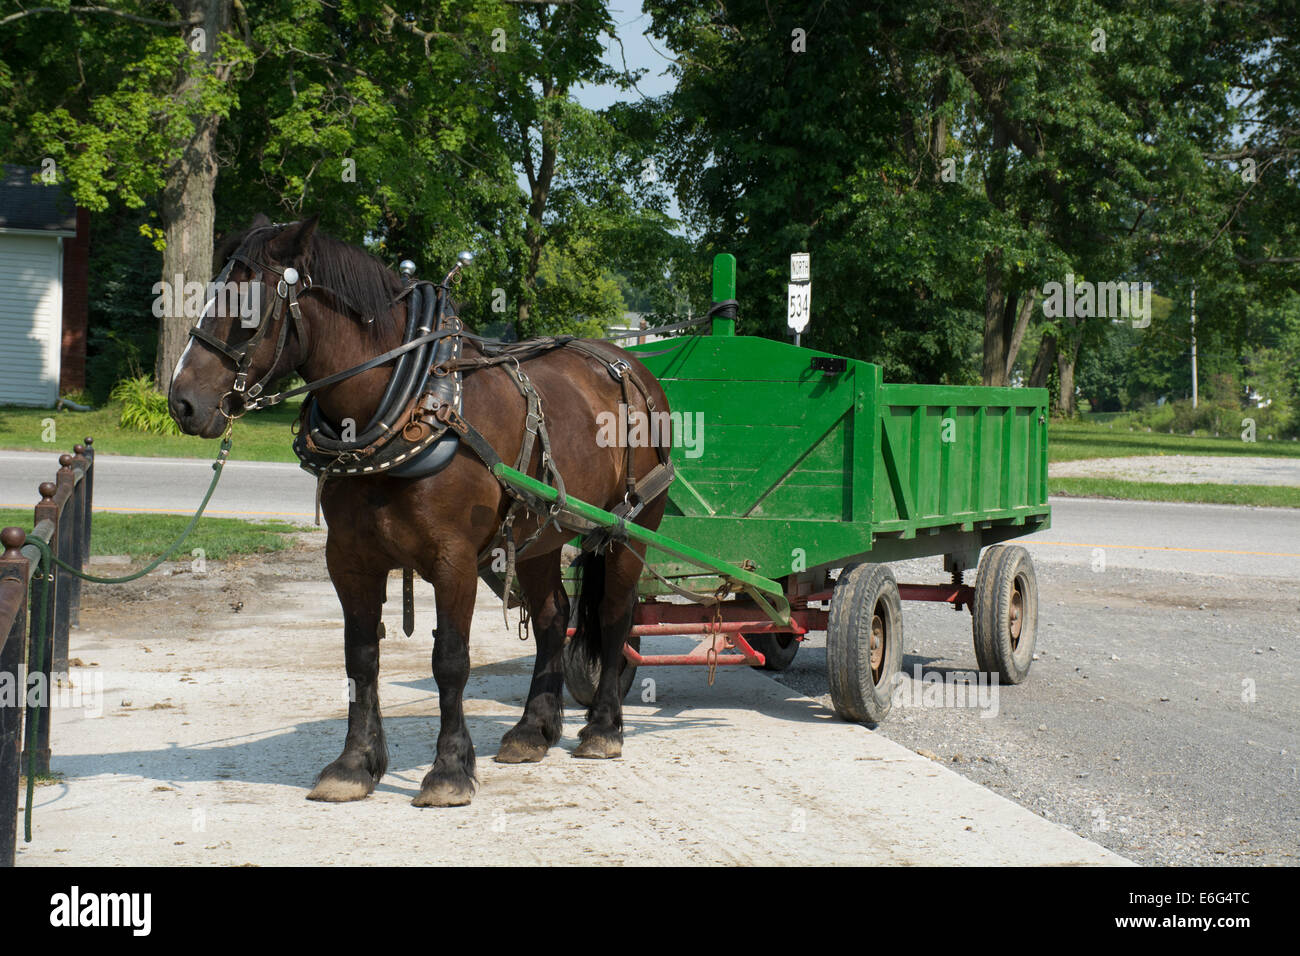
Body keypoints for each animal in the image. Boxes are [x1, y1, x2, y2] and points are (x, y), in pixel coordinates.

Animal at [168, 215, 670, 807]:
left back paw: (603, 728)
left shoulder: (453, 559)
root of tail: (628, 362)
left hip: (631, 528)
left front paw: (449, 770)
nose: (182, 401)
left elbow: (450, 660)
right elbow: (360, 657)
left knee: (615, 615)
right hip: (539, 534)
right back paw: (532, 730)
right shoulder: (349, 558)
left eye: (247, 306)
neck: (410, 401)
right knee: (553, 617)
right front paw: (354, 764)